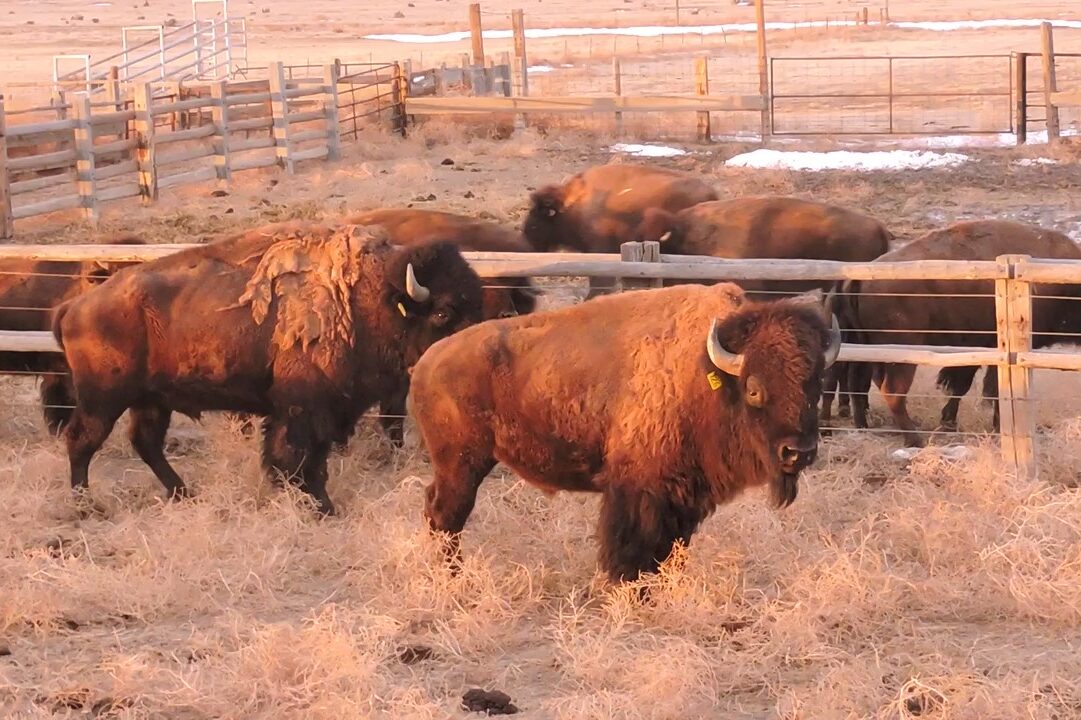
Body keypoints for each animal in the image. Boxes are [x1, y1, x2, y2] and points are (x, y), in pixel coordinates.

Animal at [52, 221, 487, 514]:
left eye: (478, 305)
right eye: (443, 312)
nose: (467, 352)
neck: (373, 298)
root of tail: (74, 306)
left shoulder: (325, 411)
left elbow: (312, 459)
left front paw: (317, 502)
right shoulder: (301, 409)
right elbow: (294, 457)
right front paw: (321, 506)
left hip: (152, 400)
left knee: (145, 443)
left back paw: (182, 493)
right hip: (103, 399)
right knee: (81, 440)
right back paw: (85, 504)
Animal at [409, 283, 842, 582]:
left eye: (816, 383)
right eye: (754, 388)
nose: (798, 452)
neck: (706, 372)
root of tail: (427, 361)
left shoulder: (685, 495)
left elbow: (672, 548)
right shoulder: (637, 490)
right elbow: (631, 548)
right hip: (462, 465)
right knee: (446, 515)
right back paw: (453, 577)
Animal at [838, 219, 1081, 446]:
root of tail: (858, 279)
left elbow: (961, 387)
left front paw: (949, 422)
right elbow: (990, 390)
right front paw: (994, 428)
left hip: (869, 348)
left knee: (861, 382)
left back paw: (865, 426)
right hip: (902, 354)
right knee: (892, 391)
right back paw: (915, 439)